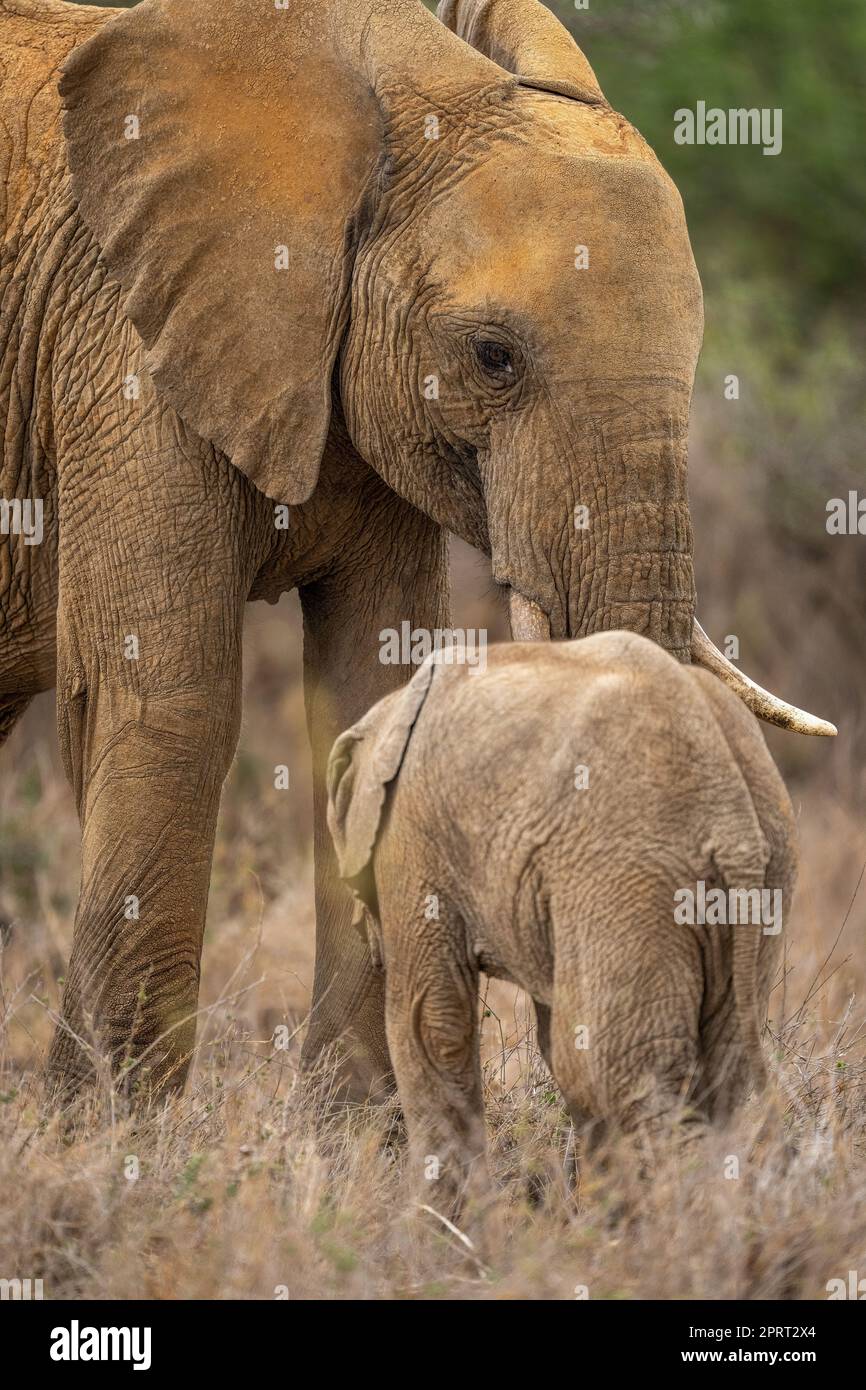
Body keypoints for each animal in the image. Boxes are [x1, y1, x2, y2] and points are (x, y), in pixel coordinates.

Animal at [0, 0, 831, 1101]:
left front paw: (356, 1124)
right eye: (493, 358)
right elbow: (167, 702)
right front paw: (104, 1123)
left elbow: (372, 694)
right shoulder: (118, 345)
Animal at [327, 632, 799, 1208]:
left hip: (627, 876)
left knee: (614, 1072)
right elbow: (552, 1034)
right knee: (715, 1076)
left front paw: (434, 1224)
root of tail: (732, 818)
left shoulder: (412, 838)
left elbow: (432, 1023)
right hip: (763, 875)